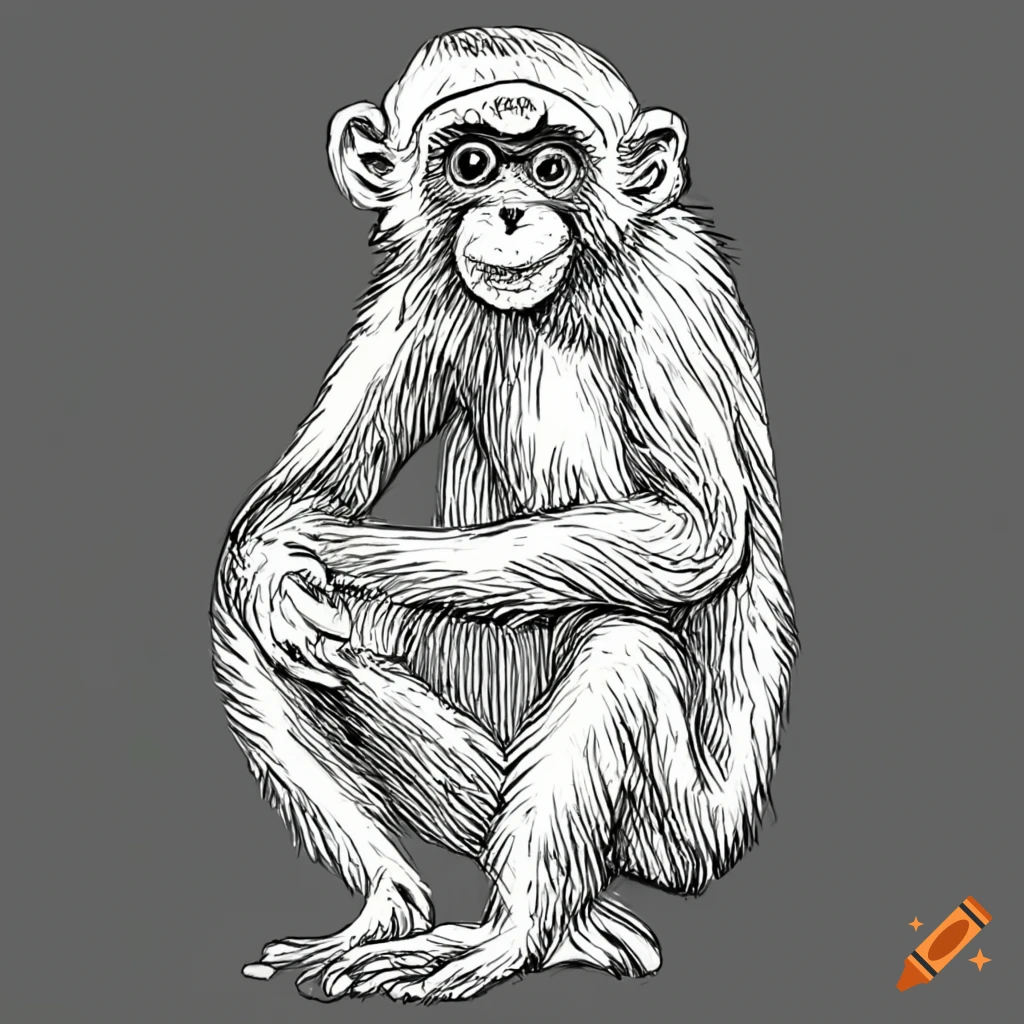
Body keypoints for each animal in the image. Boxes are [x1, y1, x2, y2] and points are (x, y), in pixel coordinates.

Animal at [210, 26, 799, 1004]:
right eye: (474, 163)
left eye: (554, 166)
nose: (515, 212)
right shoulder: (411, 299)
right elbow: (301, 501)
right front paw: (280, 554)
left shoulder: (668, 293)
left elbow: (694, 527)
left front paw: (315, 548)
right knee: (262, 636)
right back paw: (416, 909)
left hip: (681, 838)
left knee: (618, 645)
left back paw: (518, 932)